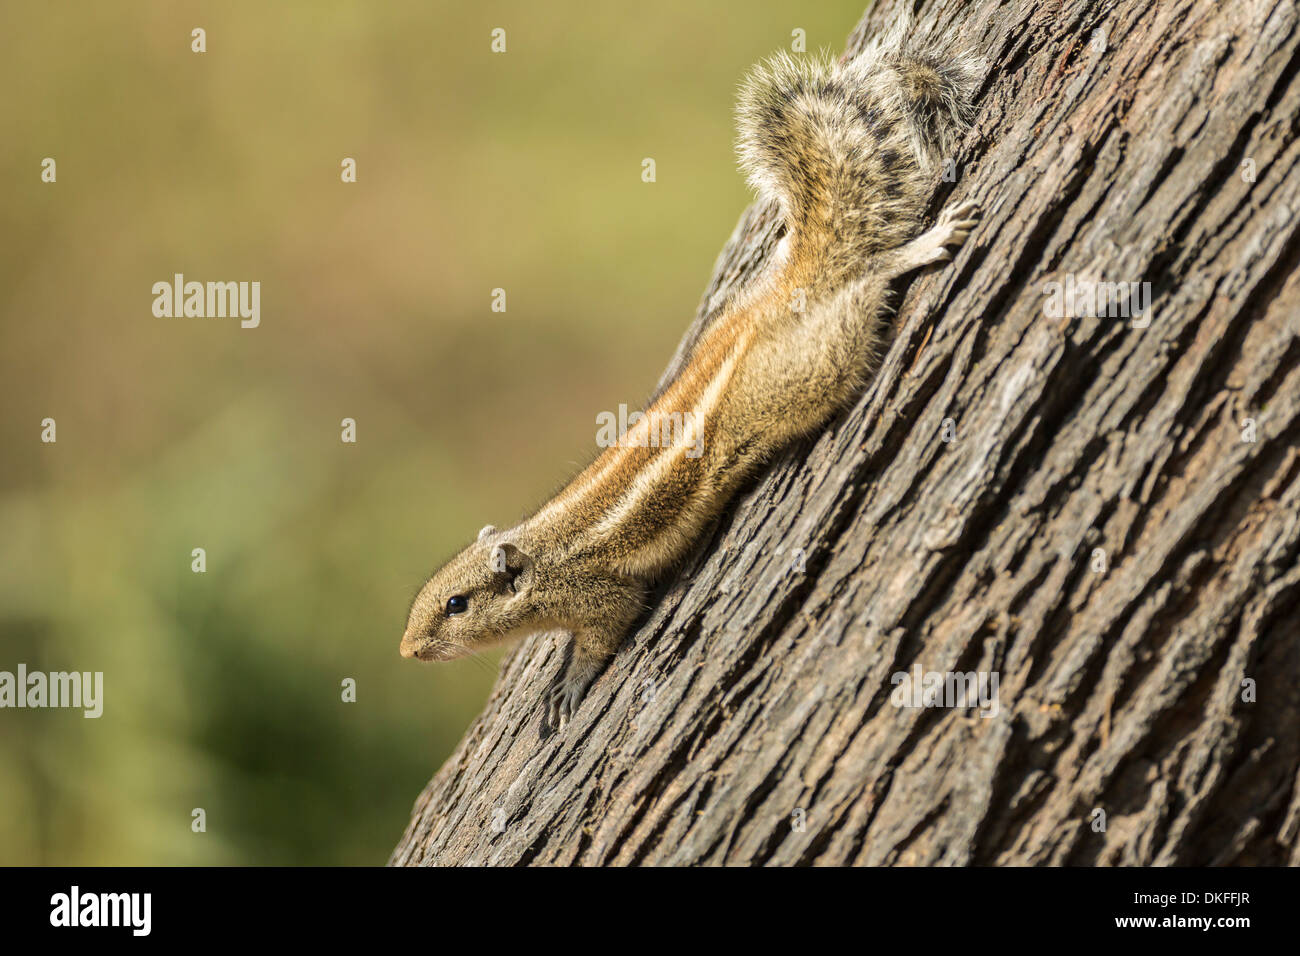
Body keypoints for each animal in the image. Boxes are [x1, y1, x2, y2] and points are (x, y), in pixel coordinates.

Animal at [400, 21, 982, 734]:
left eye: (456, 604)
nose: (407, 649)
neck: (544, 555)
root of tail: (788, 291)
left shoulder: (598, 593)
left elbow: (602, 636)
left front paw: (566, 686)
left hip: (807, 370)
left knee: (867, 281)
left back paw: (920, 247)